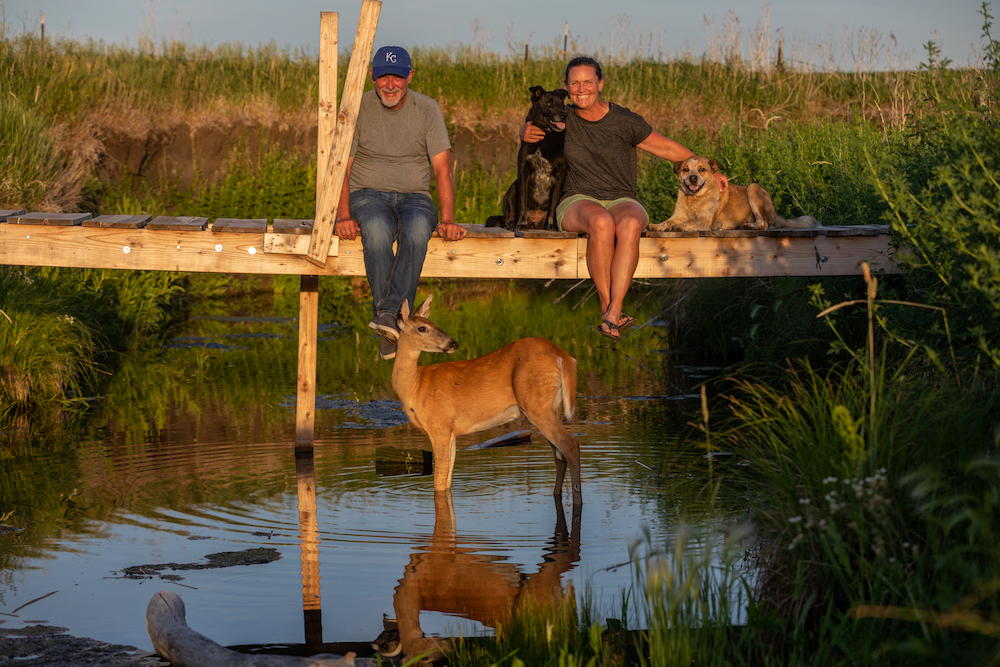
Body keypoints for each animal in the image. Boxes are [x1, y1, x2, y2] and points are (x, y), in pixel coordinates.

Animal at [386, 295, 582, 505]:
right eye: (423, 327)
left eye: (434, 324)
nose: (453, 343)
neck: (415, 387)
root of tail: (563, 356)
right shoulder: (451, 432)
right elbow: (447, 481)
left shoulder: (439, 425)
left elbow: (438, 483)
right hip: (550, 406)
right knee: (559, 455)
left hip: (536, 405)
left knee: (570, 445)